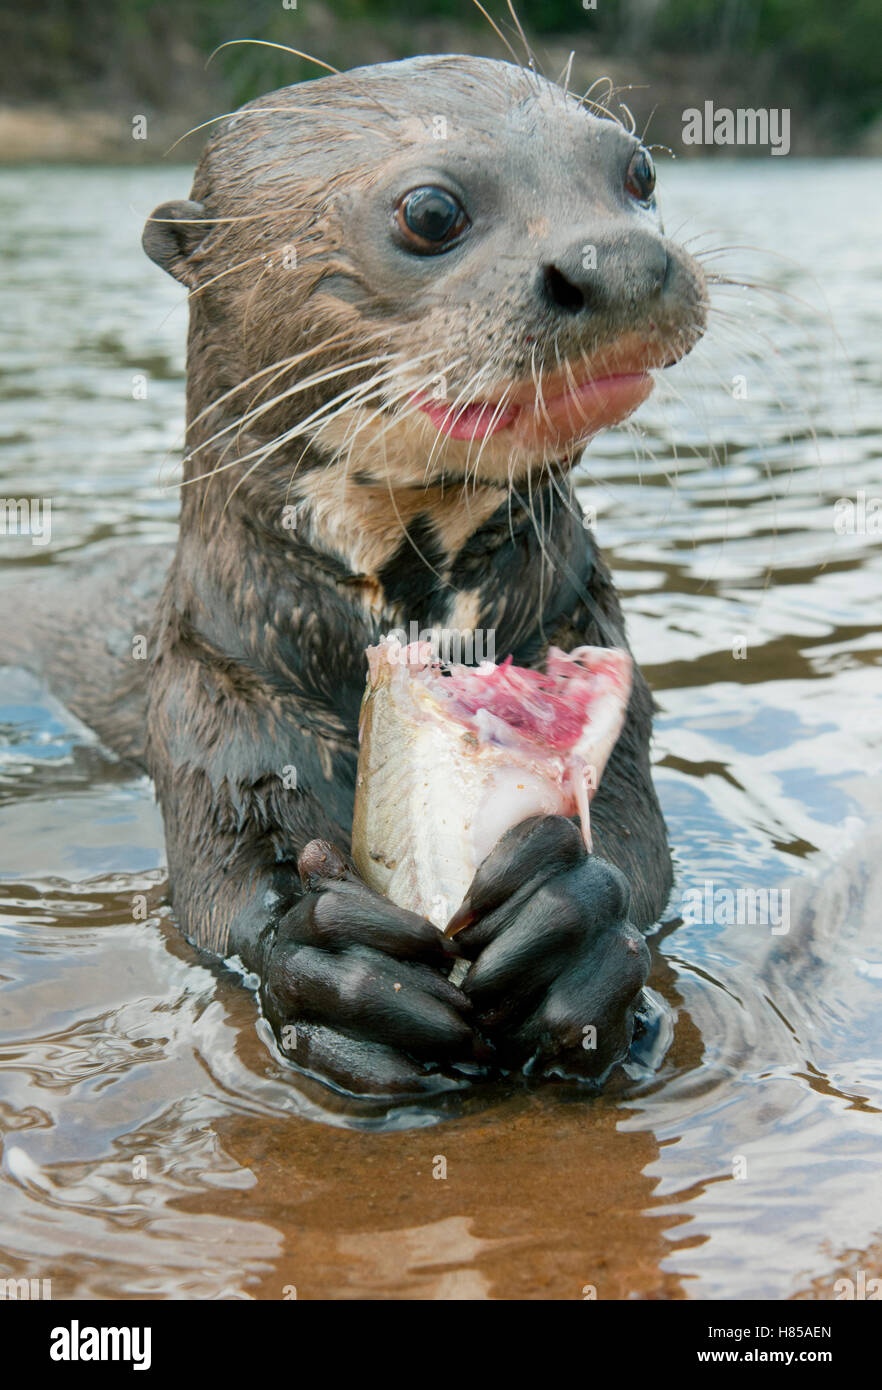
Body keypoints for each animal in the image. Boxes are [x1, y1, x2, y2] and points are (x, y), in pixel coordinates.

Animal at [4, 55, 707, 1097]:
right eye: (431, 211)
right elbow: (219, 898)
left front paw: (573, 938)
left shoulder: (594, 655)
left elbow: (641, 858)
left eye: (640, 172)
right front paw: (338, 974)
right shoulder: (212, 716)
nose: (619, 261)